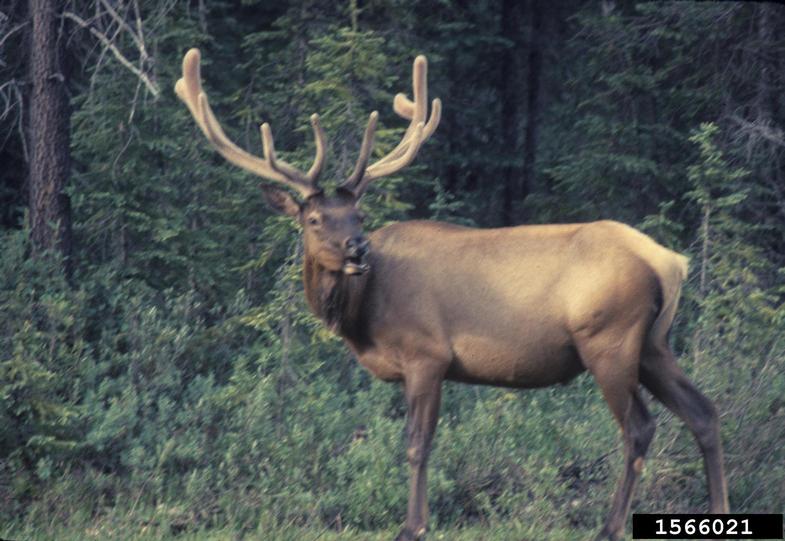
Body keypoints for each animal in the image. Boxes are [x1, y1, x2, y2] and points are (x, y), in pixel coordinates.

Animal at [175, 48, 729, 541]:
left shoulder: (428, 355)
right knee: (704, 412)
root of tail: (671, 263)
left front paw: (413, 526)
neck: (362, 315)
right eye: (314, 219)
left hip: (609, 340)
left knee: (639, 427)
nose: (358, 248)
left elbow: (417, 443)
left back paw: (610, 527)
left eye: (358, 215)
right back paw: (718, 510)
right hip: (654, 344)